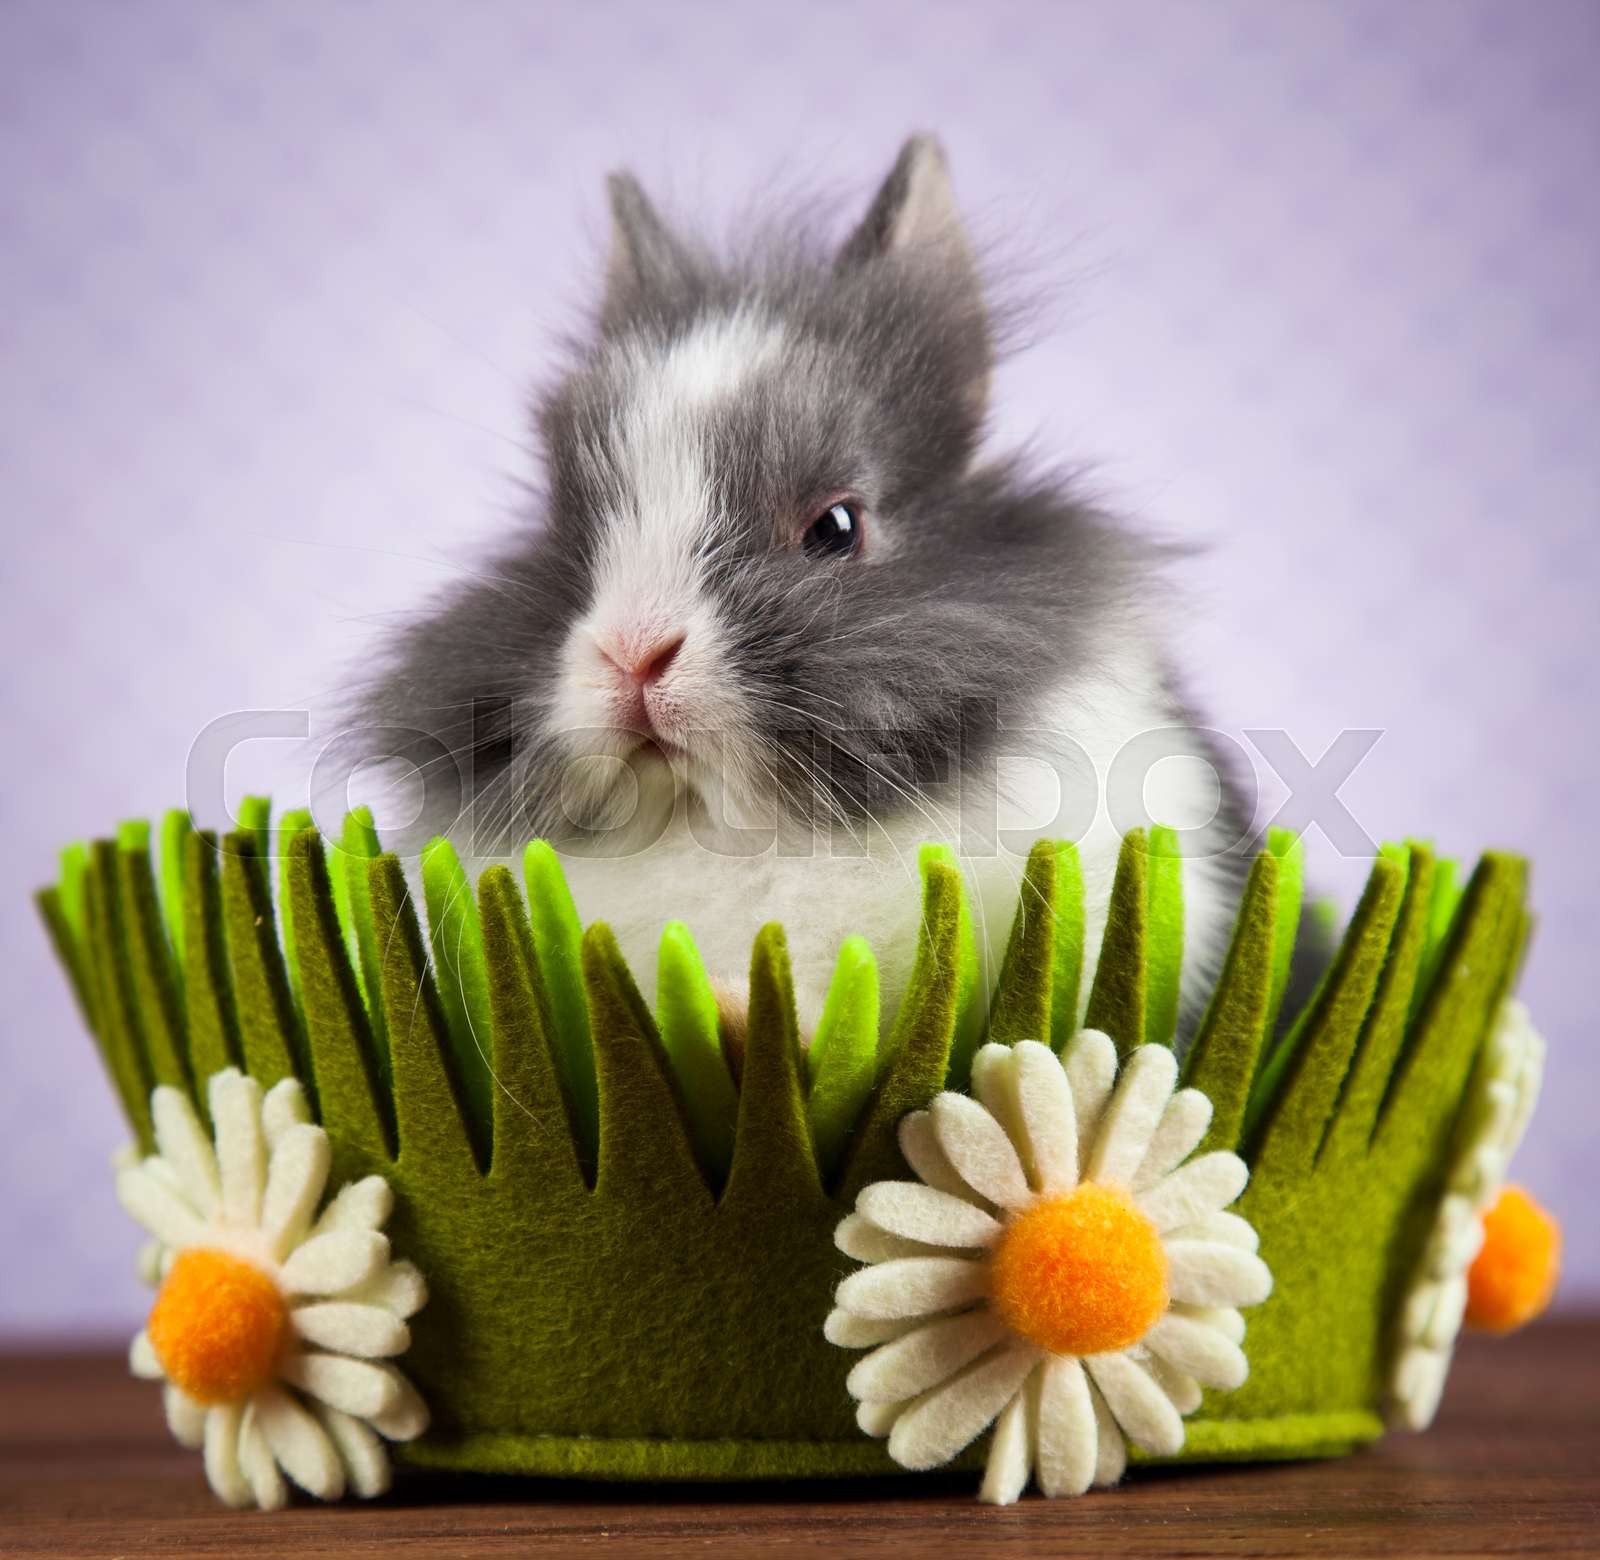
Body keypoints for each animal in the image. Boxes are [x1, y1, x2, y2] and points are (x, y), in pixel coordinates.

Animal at [342, 134, 1254, 1045]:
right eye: (564, 525)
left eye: (837, 526)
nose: (634, 653)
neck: (734, 829)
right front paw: (723, 1011)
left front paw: (744, 1014)